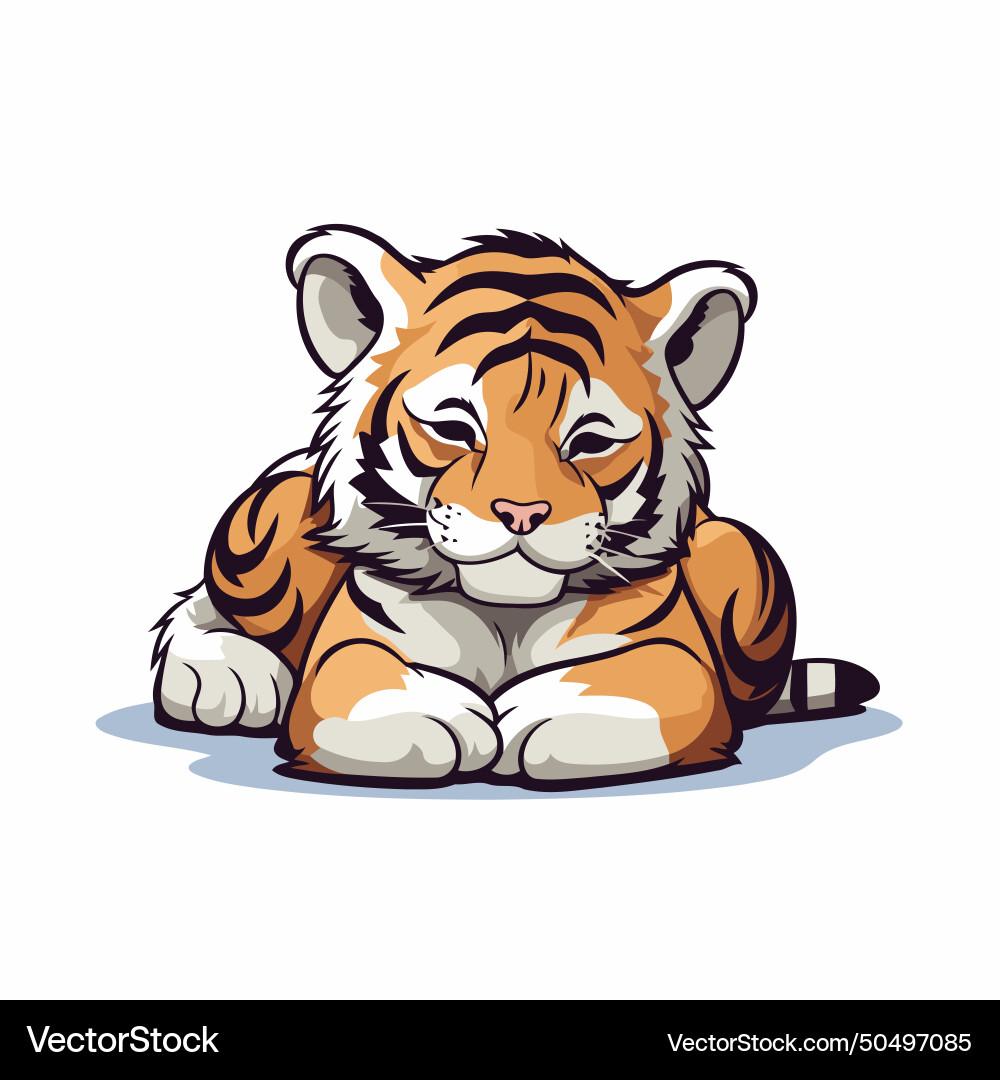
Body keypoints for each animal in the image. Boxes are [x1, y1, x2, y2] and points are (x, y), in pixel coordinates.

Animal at [152, 224, 879, 789]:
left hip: (741, 554)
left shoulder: (673, 654)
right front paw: (446, 722)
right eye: (454, 428)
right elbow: (368, 691)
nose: (521, 512)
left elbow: (636, 690)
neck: (505, 612)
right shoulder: (352, 646)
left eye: (589, 441)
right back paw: (227, 679)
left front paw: (539, 721)